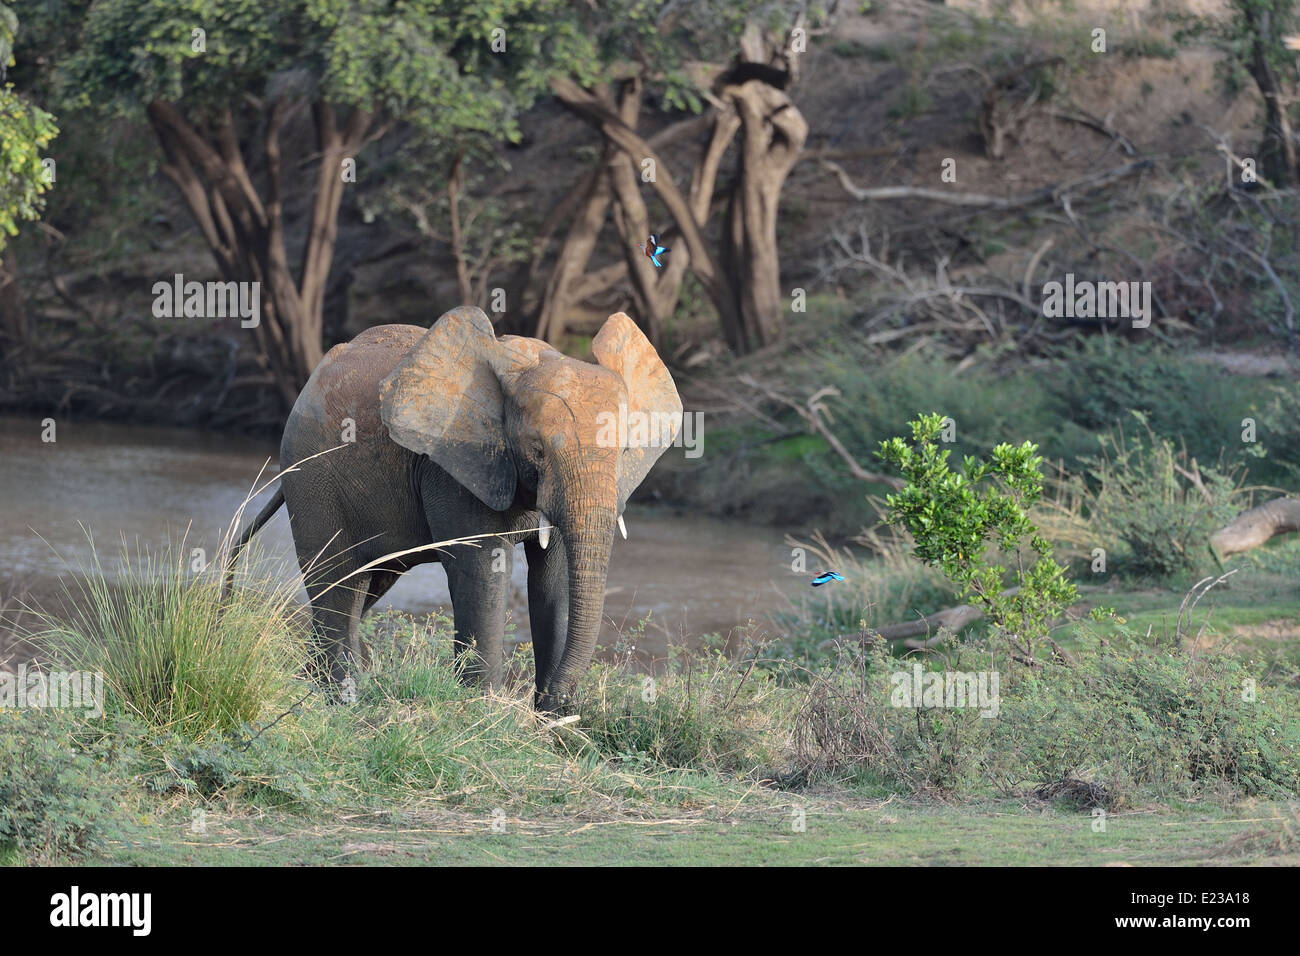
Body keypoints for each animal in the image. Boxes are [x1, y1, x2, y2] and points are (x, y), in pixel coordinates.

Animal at [228, 306, 682, 712]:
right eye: (537, 449)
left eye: (623, 452)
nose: (561, 702)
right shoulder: (452, 465)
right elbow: (483, 567)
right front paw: (485, 713)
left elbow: (553, 578)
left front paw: (554, 723)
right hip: (311, 477)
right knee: (336, 581)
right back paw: (341, 698)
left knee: (366, 584)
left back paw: (322, 682)